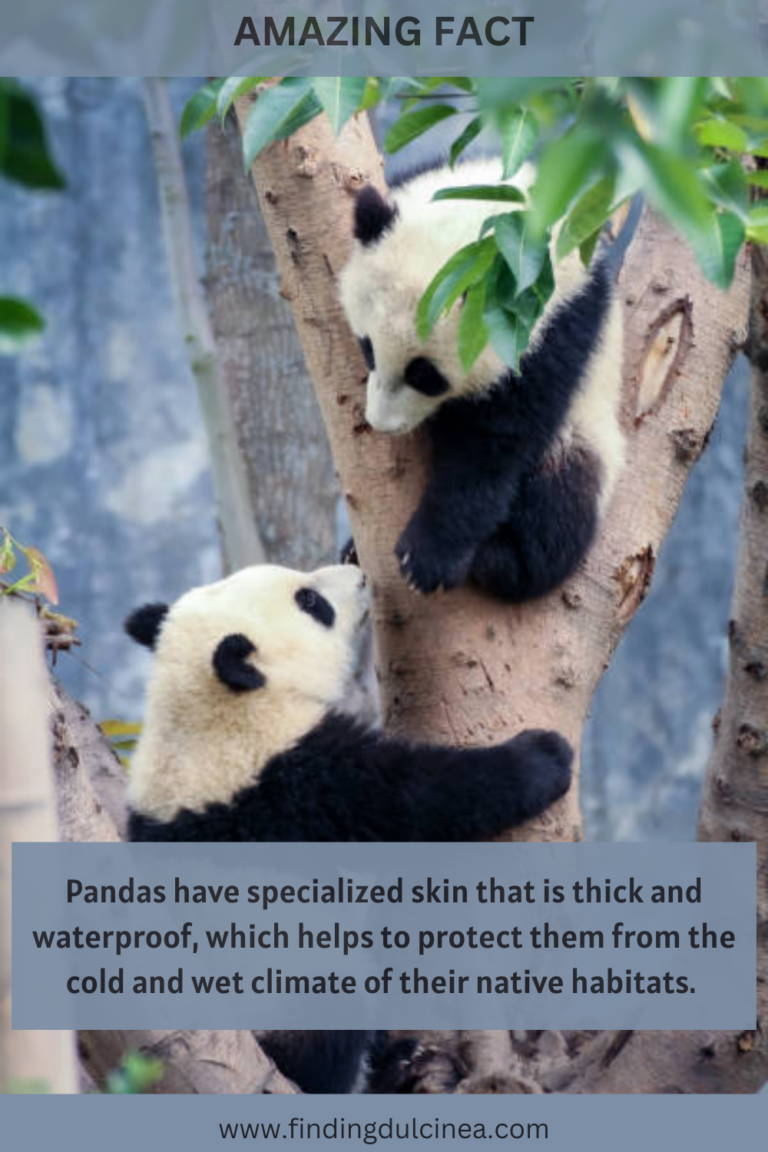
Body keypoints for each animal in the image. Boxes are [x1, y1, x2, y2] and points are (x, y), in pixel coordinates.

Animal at [124, 561, 573, 1092]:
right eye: (311, 602)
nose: (358, 575)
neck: (205, 715)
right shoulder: (295, 789)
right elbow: (416, 802)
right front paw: (542, 757)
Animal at [338, 157, 626, 602]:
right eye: (367, 347)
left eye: (425, 375)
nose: (381, 424)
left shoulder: (552, 333)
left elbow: (494, 447)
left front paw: (428, 558)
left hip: (585, 433)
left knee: (561, 498)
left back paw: (501, 561)